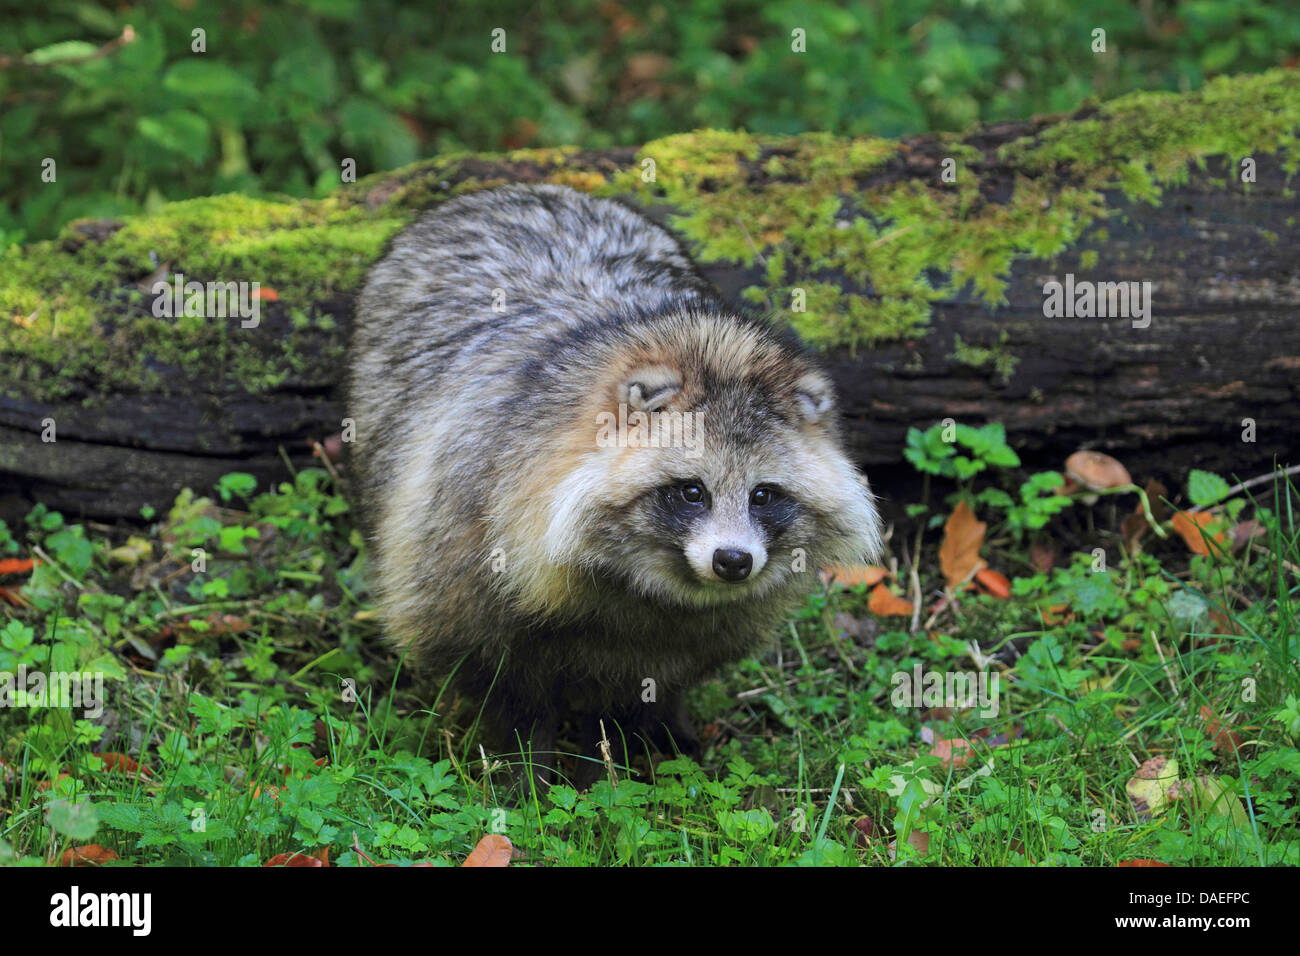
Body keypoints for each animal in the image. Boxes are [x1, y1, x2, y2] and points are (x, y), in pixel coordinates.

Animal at [347, 184, 881, 784]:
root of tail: (513, 188)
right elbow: (495, 676)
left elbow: (651, 684)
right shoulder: (463, 532)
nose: (733, 561)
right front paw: (525, 763)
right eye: (691, 490)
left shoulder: (705, 624)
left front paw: (647, 736)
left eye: (763, 495)